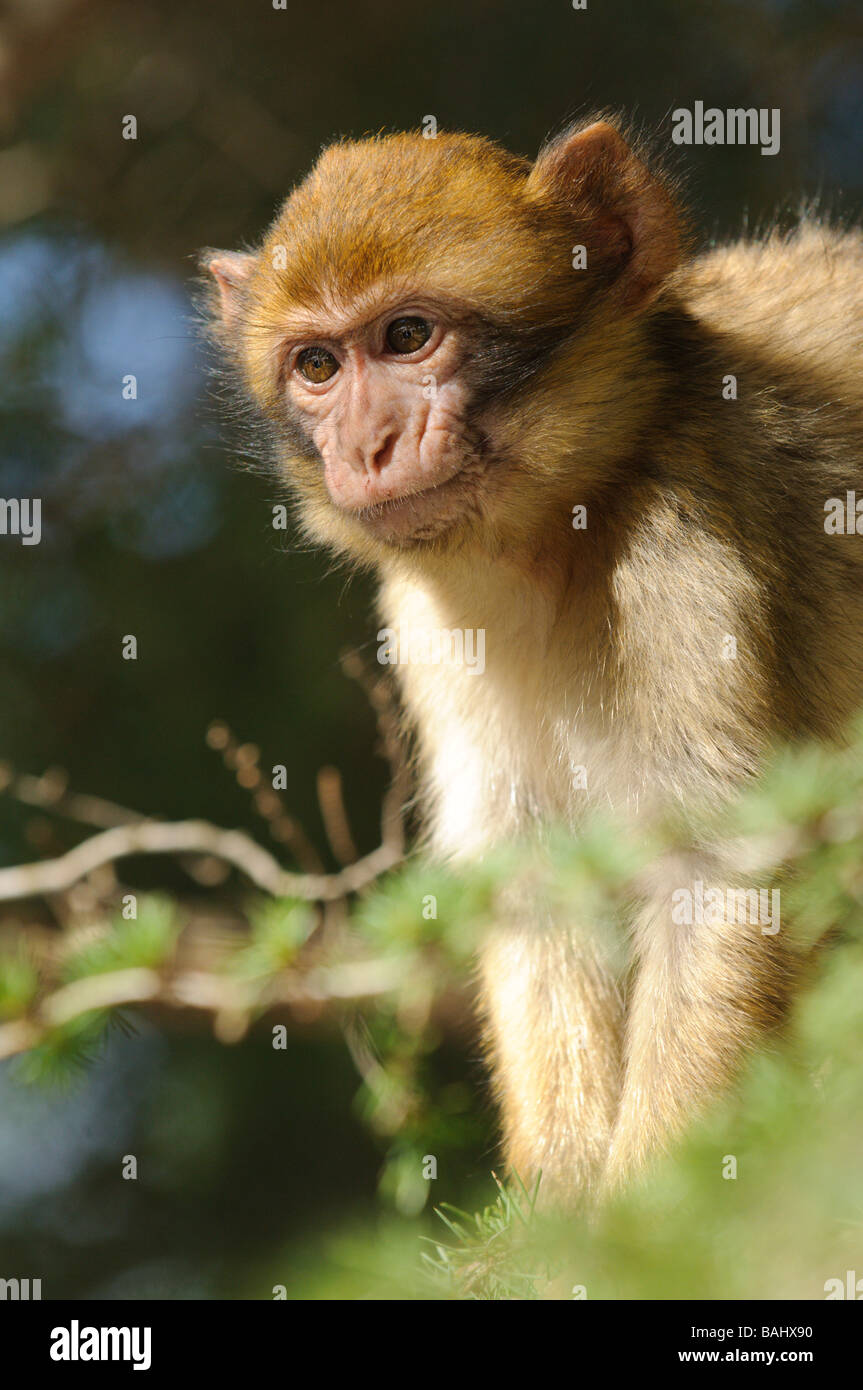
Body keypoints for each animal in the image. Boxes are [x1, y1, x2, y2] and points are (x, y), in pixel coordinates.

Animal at [203, 117, 863, 1206]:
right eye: (317, 365)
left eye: (406, 337)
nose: (367, 446)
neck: (558, 533)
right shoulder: (427, 613)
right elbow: (537, 872)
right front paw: (558, 1215)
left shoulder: (681, 541)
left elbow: (715, 871)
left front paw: (643, 1220)